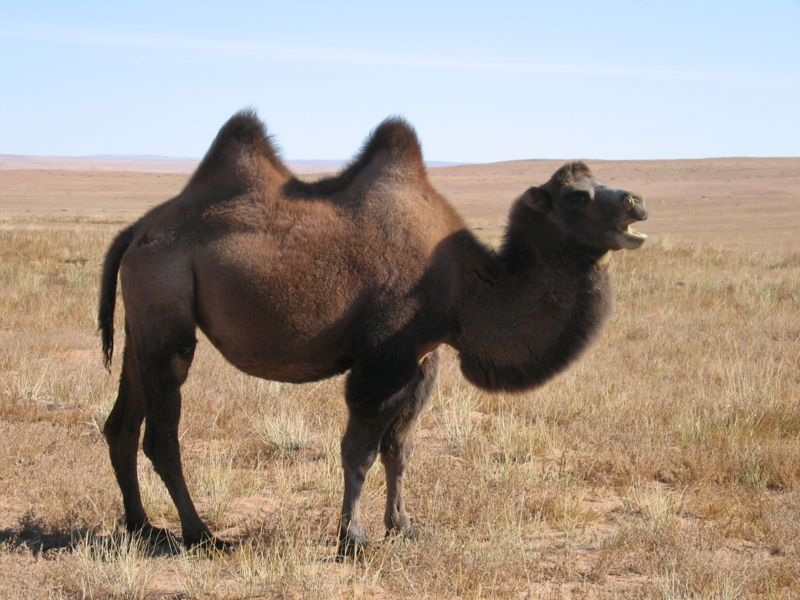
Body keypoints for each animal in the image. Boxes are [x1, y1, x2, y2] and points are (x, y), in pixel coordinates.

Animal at [98, 110, 648, 555]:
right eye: (578, 195)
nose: (637, 202)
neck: (464, 284)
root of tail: (138, 229)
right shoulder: (383, 358)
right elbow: (358, 450)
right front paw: (353, 539)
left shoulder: (424, 360)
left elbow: (399, 448)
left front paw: (403, 526)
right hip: (167, 313)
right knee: (161, 436)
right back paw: (200, 534)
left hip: (141, 323)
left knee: (121, 424)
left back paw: (143, 526)